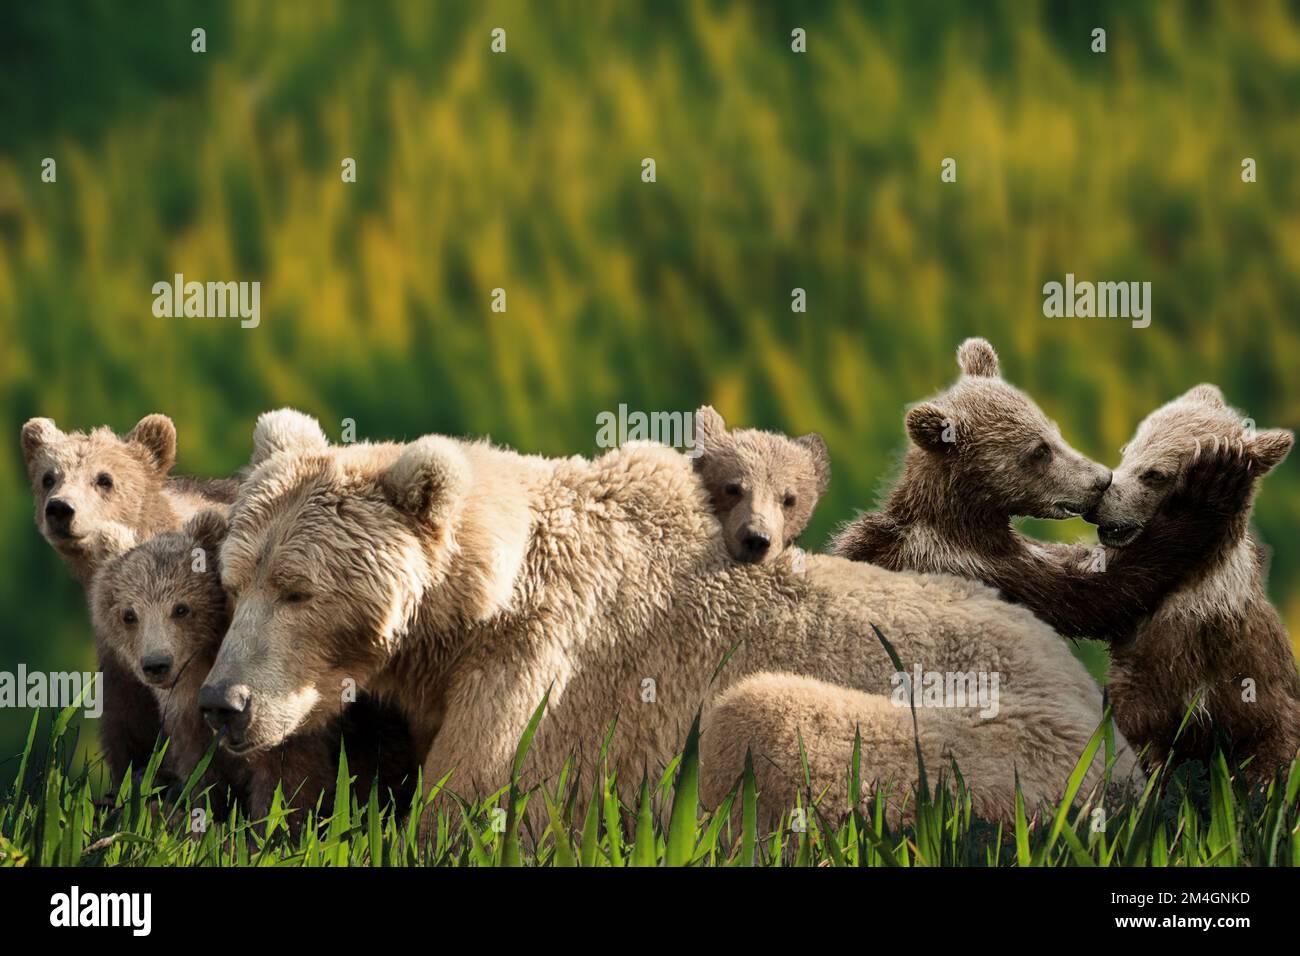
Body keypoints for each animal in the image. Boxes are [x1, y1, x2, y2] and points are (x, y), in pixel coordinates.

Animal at [90, 509, 418, 826]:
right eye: (128, 615)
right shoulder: (188, 723)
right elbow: (204, 779)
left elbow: (289, 783)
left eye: (181, 608)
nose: (156, 663)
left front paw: (272, 829)